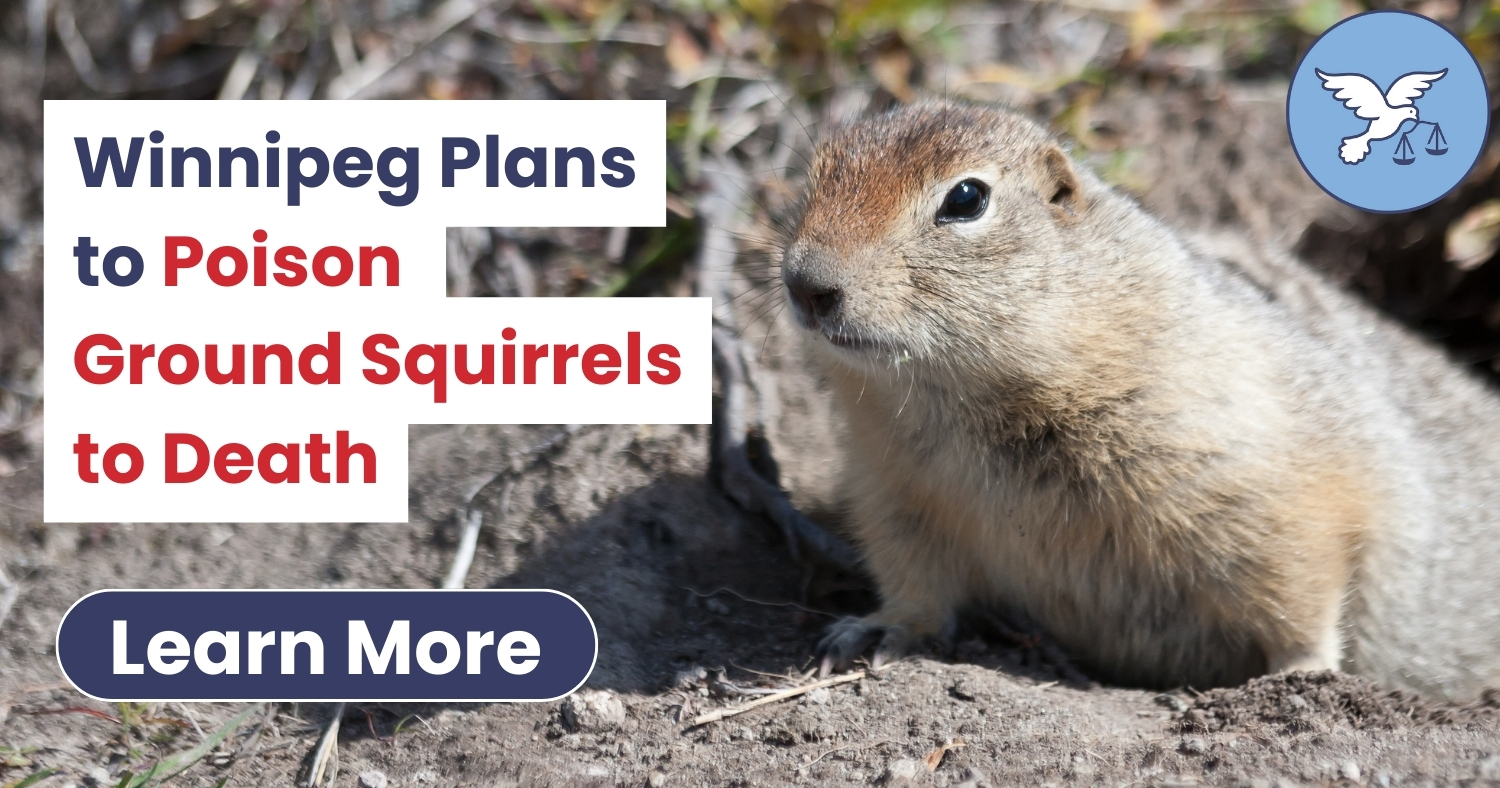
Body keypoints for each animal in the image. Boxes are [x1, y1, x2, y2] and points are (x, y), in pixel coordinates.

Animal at [782, 100, 1500, 700]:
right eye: (813, 175)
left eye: (966, 197)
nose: (805, 284)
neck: (960, 402)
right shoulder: (892, 491)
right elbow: (915, 580)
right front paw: (879, 628)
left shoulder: (1270, 484)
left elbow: (1300, 590)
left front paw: (1301, 675)